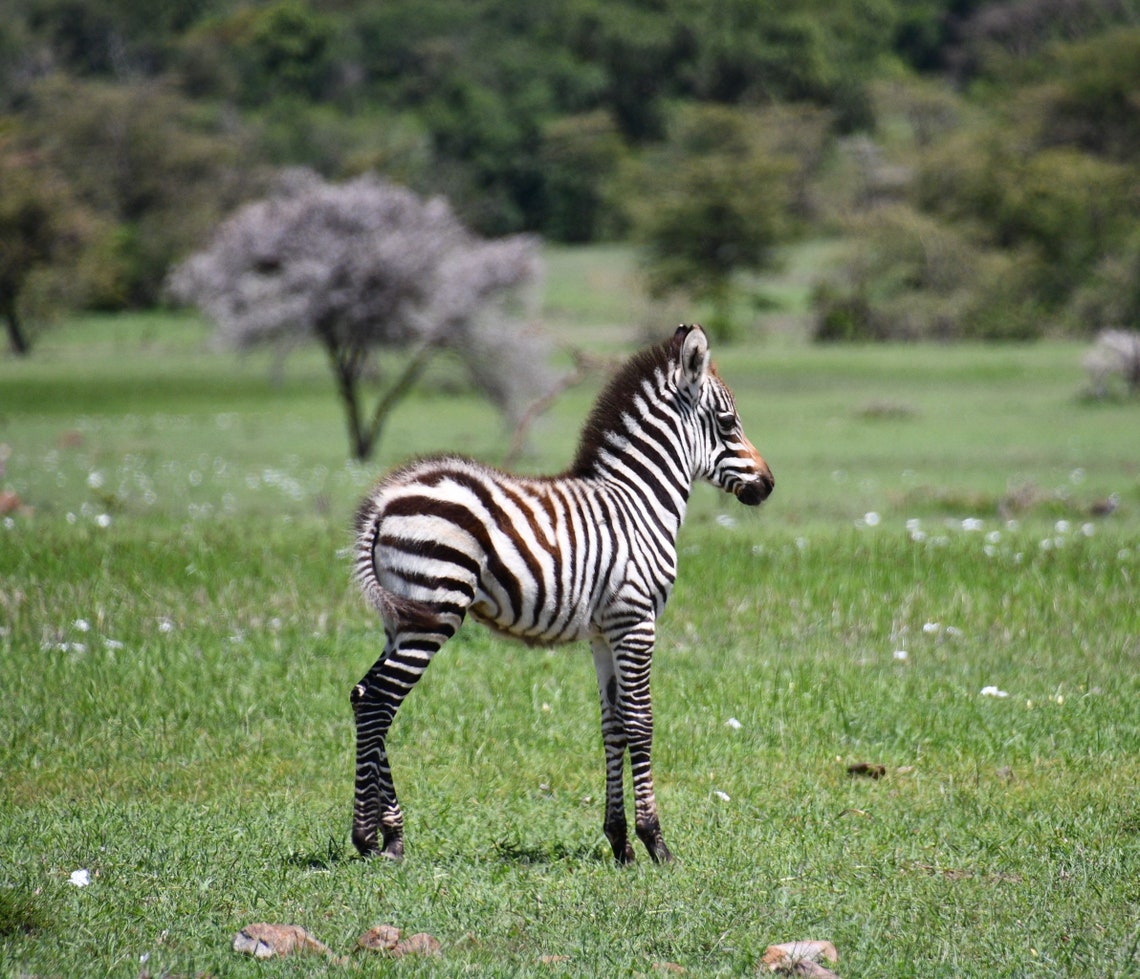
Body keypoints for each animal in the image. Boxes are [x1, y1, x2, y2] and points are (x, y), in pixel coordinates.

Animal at [350, 324, 774, 864]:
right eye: (728, 421)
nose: (768, 485)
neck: (638, 502)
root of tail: (384, 501)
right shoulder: (636, 621)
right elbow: (641, 723)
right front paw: (655, 842)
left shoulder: (603, 633)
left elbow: (614, 725)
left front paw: (619, 841)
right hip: (434, 609)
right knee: (379, 702)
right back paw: (372, 836)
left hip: (401, 618)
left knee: (366, 696)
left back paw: (389, 835)